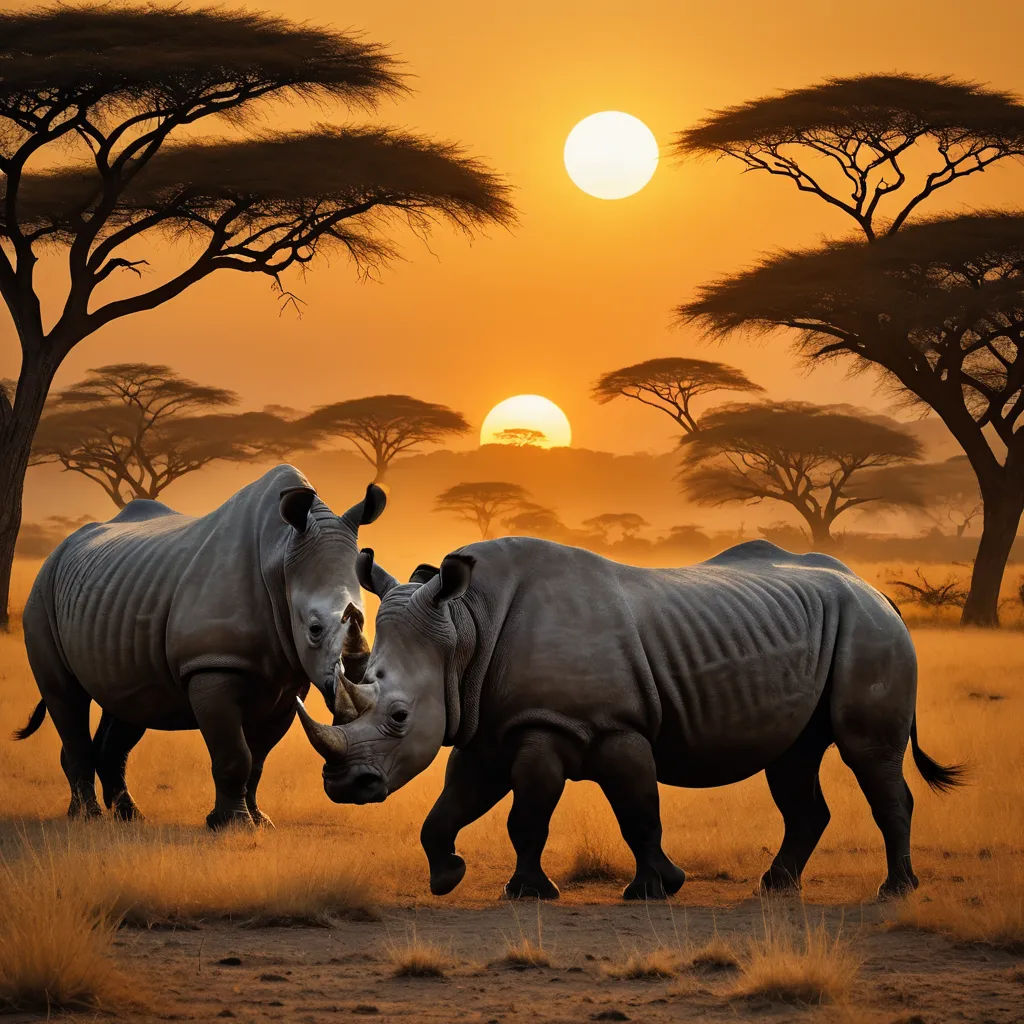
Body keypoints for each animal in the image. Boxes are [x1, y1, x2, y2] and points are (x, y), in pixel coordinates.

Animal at [15, 465, 385, 828]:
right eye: (314, 629)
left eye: (365, 620)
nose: (353, 677)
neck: (281, 558)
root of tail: (61, 547)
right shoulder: (211, 664)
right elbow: (235, 754)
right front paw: (232, 825)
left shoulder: (288, 678)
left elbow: (258, 758)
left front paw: (261, 820)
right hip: (42, 593)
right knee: (66, 696)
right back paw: (87, 818)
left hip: (118, 597)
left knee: (129, 703)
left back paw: (129, 818)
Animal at [296, 537, 963, 900]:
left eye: (400, 715)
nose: (345, 786)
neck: (463, 629)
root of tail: (876, 589)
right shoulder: (488, 727)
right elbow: (452, 806)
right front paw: (448, 877)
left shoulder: (591, 724)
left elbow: (598, 811)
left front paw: (640, 889)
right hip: (829, 630)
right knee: (794, 762)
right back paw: (776, 887)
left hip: (870, 630)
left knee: (868, 756)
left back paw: (894, 891)